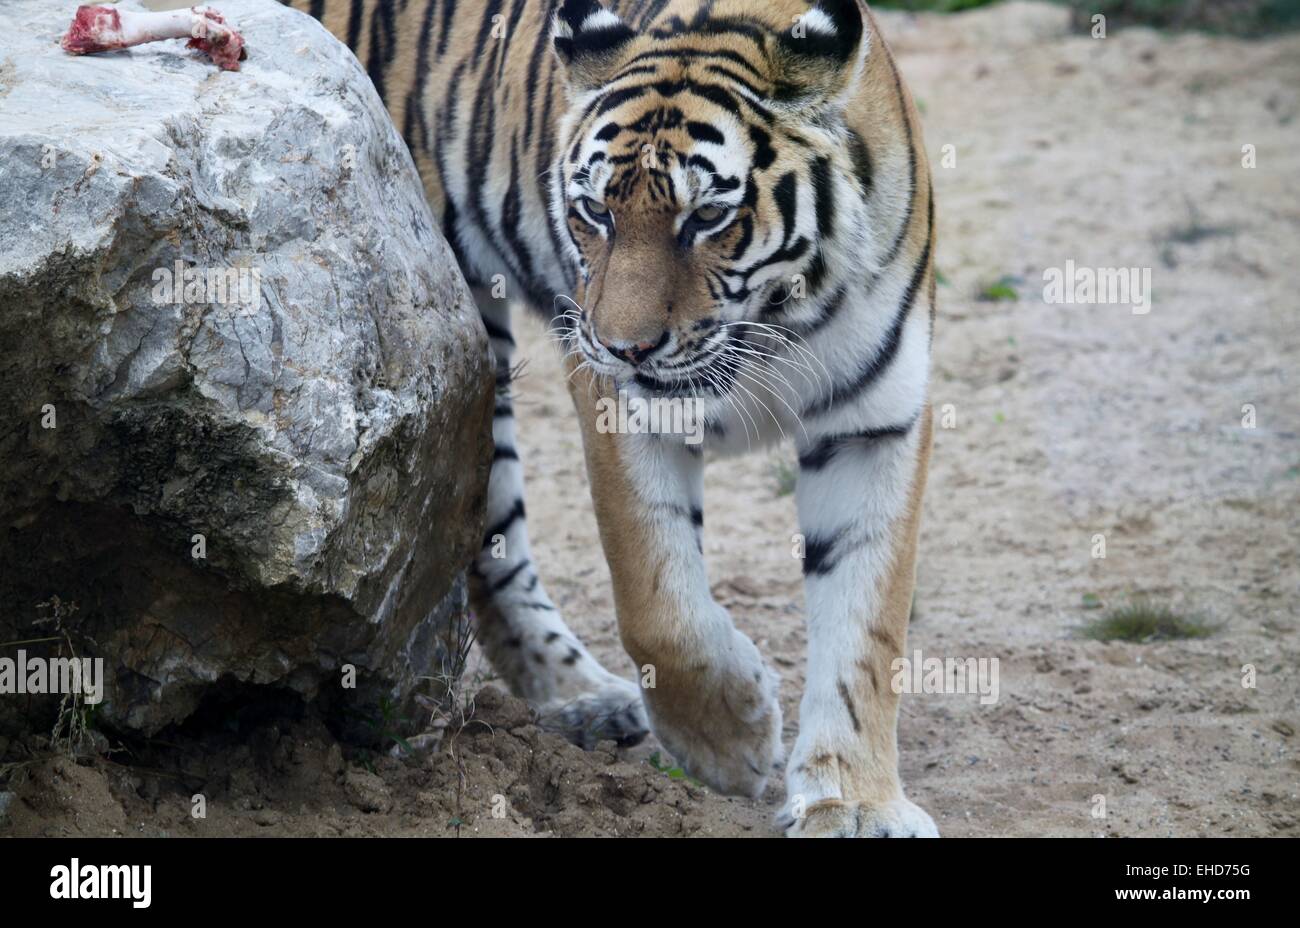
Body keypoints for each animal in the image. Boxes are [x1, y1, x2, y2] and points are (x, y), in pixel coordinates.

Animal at [285, 0, 938, 837]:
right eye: (596, 210)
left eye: (708, 216)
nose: (627, 347)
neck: (776, 321)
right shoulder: (615, 401)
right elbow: (658, 603)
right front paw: (732, 740)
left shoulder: (874, 427)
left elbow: (867, 629)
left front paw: (852, 801)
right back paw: (583, 699)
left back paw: (583, 700)